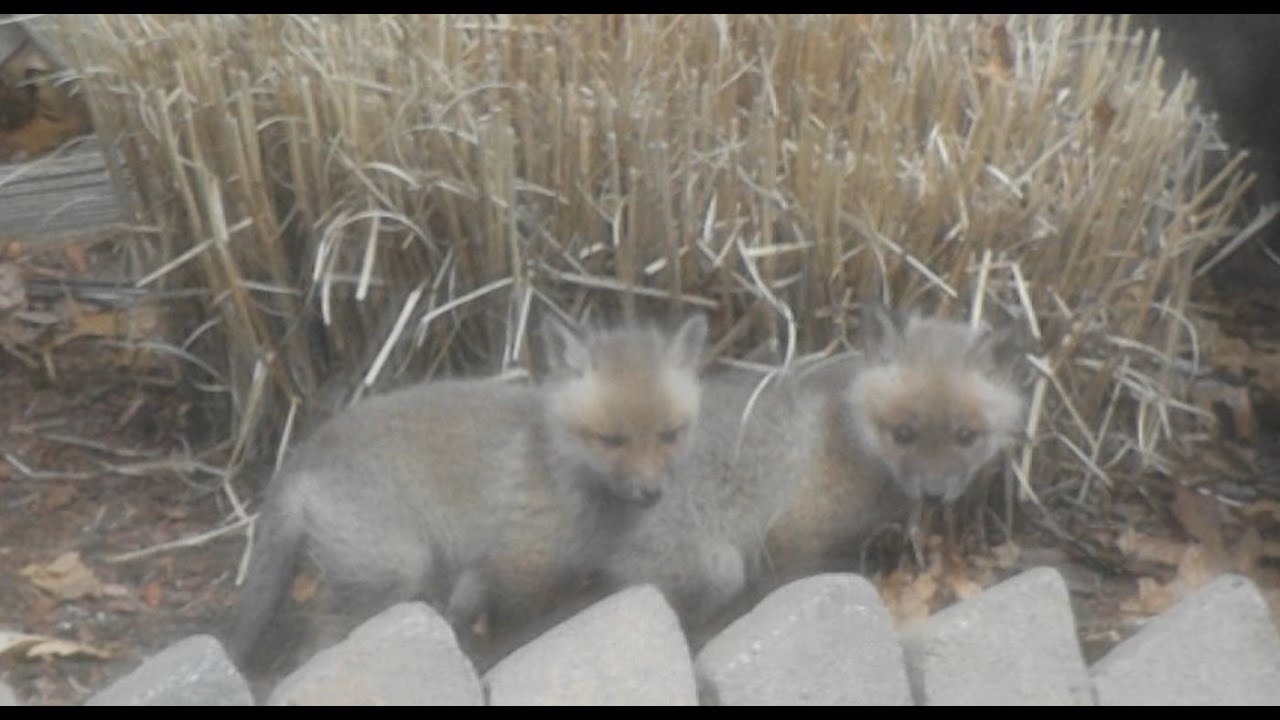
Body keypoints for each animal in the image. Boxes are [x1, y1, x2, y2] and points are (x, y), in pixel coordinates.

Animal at [225, 313, 709, 676]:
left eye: (670, 435)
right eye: (611, 440)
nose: (651, 491)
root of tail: (301, 457)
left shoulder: (529, 572)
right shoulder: (515, 568)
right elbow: (514, 631)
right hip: (397, 568)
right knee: (314, 643)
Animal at [599, 302, 1026, 634]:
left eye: (966, 436)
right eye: (902, 434)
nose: (934, 493)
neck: (849, 437)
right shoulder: (790, 539)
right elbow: (788, 589)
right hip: (723, 570)